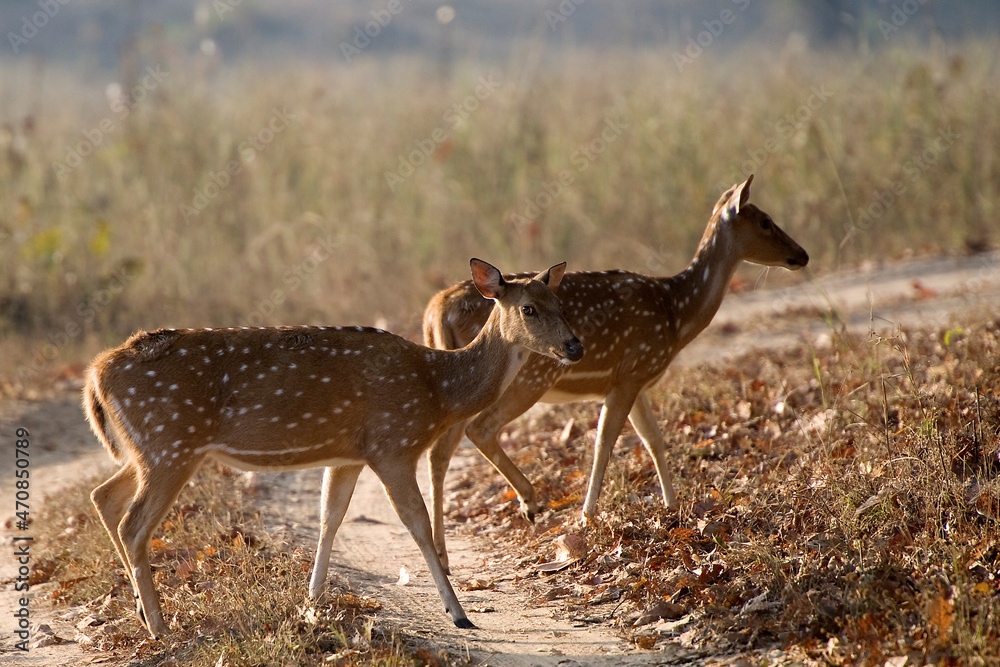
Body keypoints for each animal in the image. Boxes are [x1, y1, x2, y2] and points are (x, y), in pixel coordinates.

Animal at [84, 259, 583, 638]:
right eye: (528, 309)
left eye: (561, 304)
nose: (574, 346)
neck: (438, 390)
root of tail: (95, 373)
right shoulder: (392, 443)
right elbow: (416, 524)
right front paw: (458, 614)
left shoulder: (348, 456)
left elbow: (330, 519)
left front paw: (311, 603)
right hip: (171, 445)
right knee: (133, 524)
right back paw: (159, 627)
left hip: (149, 451)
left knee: (104, 496)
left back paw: (140, 610)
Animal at [424, 176, 809, 571]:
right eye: (765, 221)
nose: (802, 254)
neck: (677, 314)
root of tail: (437, 307)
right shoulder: (632, 372)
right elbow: (605, 440)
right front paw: (587, 517)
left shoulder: (637, 381)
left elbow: (653, 439)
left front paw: (673, 509)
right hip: (527, 377)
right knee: (480, 429)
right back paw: (529, 503)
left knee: (439, 451)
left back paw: (443, 553)